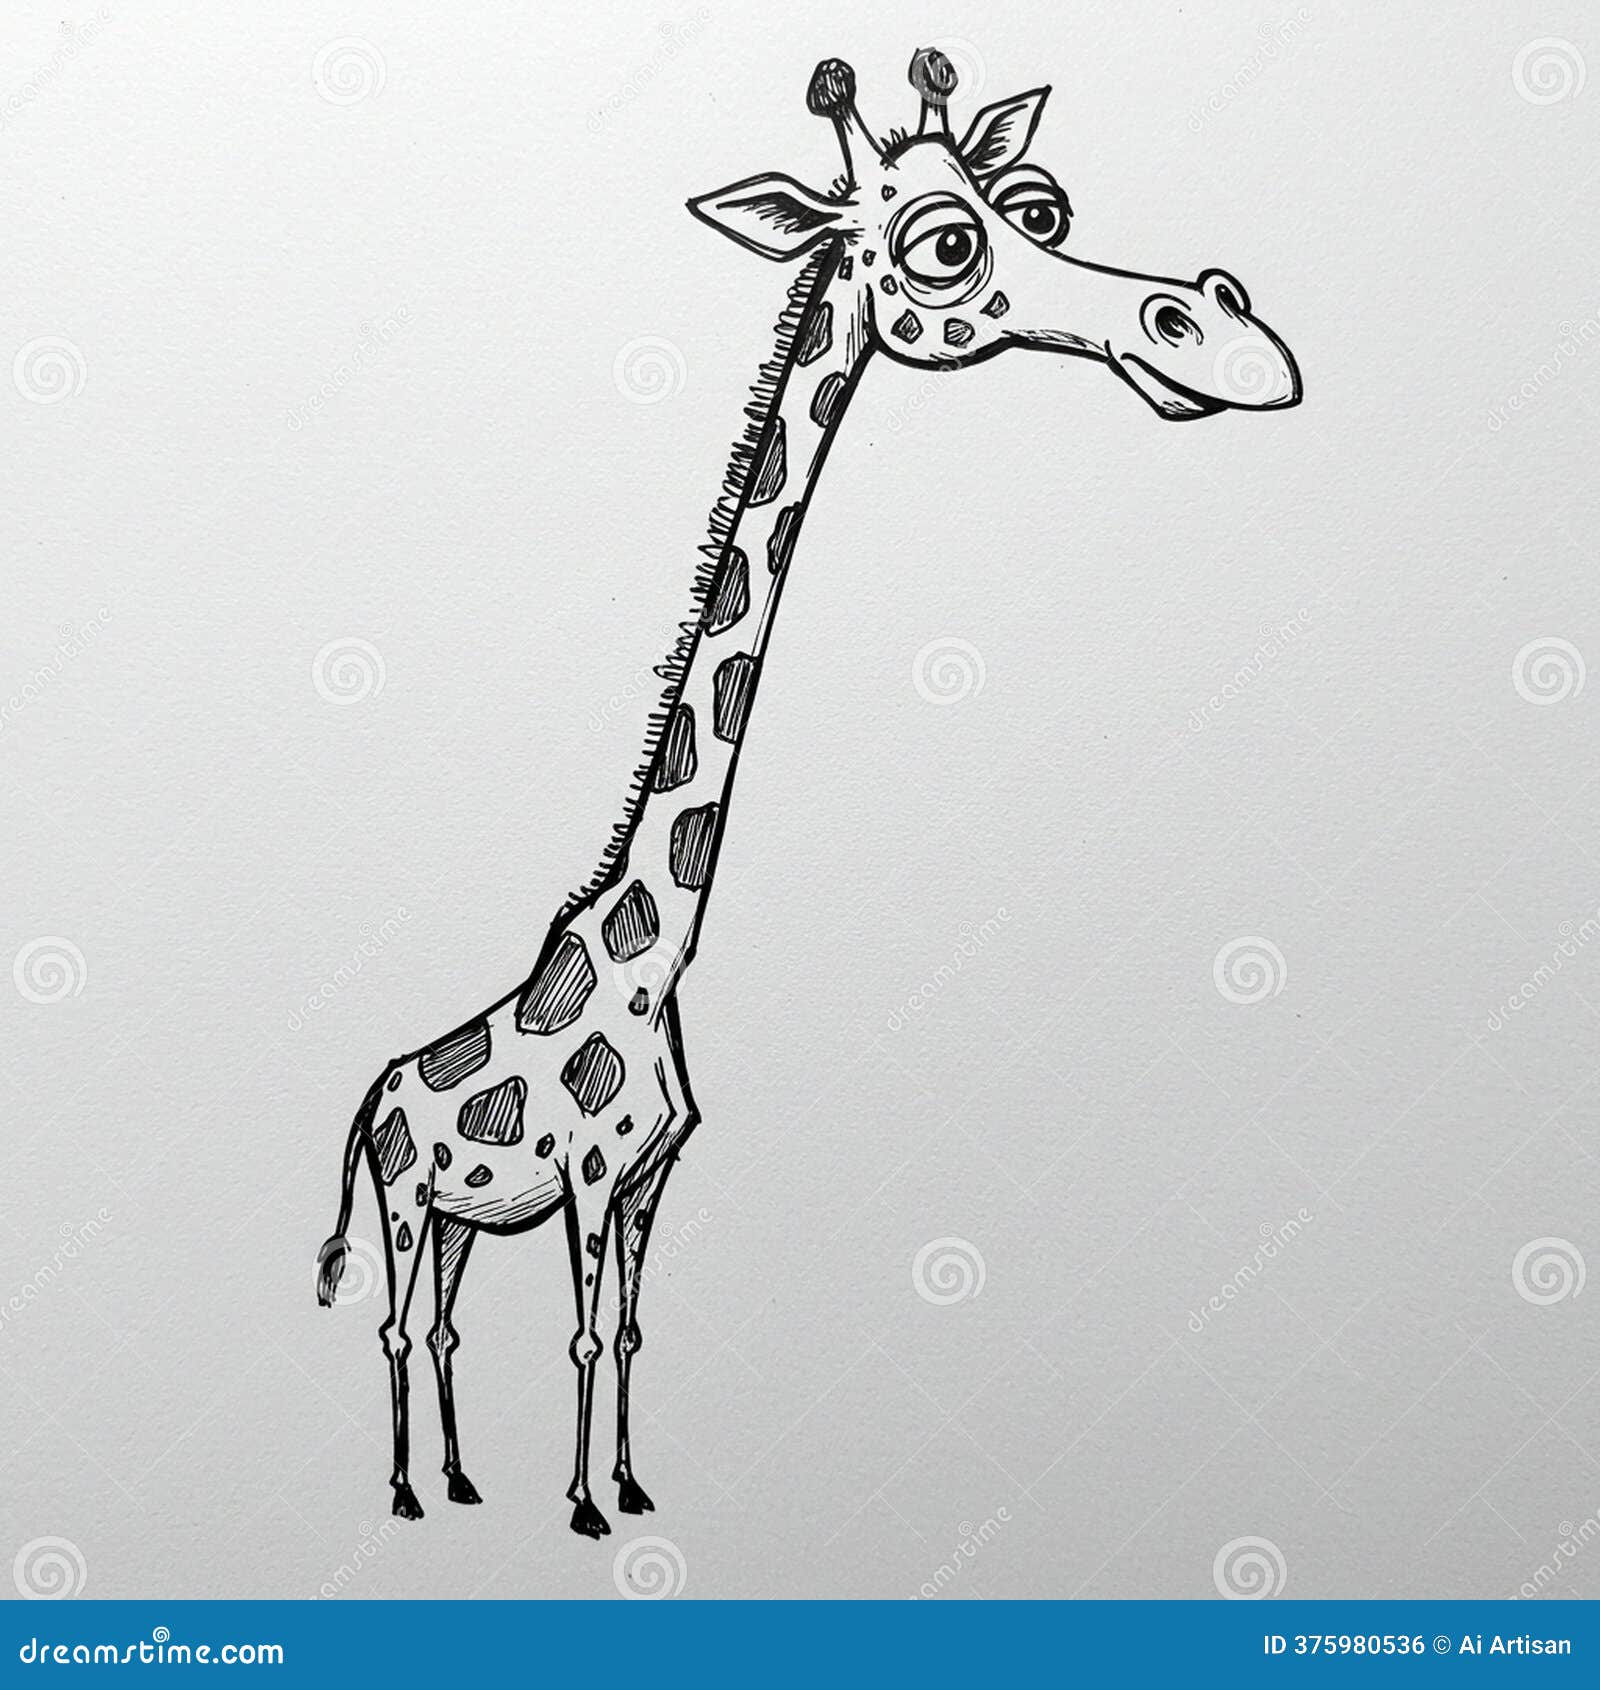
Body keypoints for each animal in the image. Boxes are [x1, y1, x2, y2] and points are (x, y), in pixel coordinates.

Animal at [315, 49, 1301, 1539]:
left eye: (1041, 207)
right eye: (947, 245)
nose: (1236, 343)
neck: (650, 964)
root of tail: (369, 1094)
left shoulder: (652, 1175)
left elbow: (634, 1327)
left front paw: (631, 1486)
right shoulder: (591, 1176)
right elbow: (589, 1332)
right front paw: (585, 1508)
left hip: (461, 1218)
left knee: (434, 1323)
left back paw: (461, 1479)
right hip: (400, 1199)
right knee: (387, 1322)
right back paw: (403, 1496)